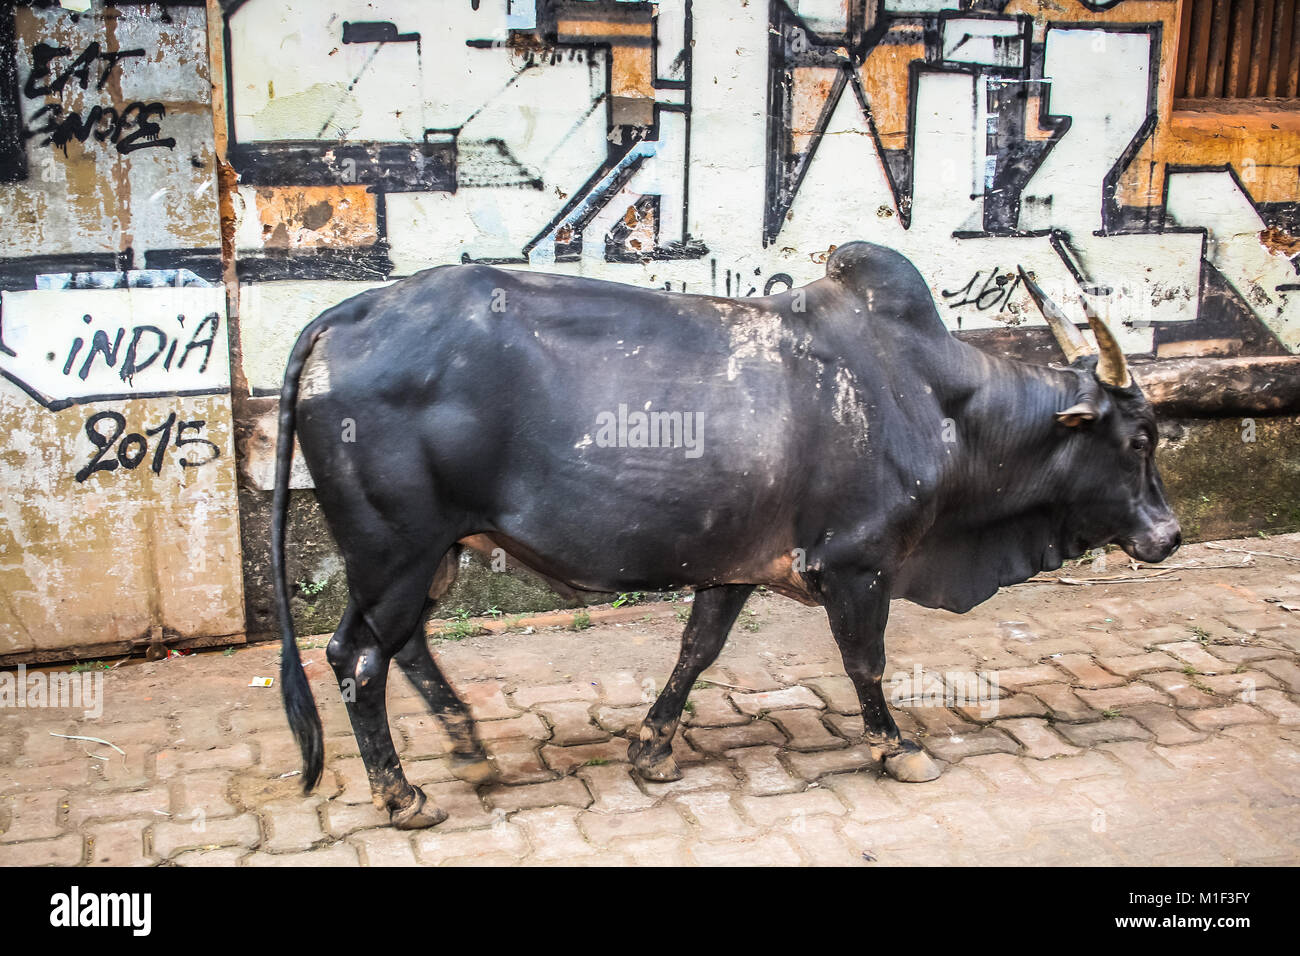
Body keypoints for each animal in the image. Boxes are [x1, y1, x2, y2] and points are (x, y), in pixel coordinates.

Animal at [271, 241, 1180, 829]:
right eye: (1140, 438)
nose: (1169, 535)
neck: (934, 400)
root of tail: (343, 313)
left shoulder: (734, 565)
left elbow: (696, 650)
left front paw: (651, 748)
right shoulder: (857, 564)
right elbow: (867, 662)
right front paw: (897, 748)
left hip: (429, 554)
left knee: (396, 649)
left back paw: (469, 750)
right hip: (397, 550)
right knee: (359, 659)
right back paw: (402, 796)